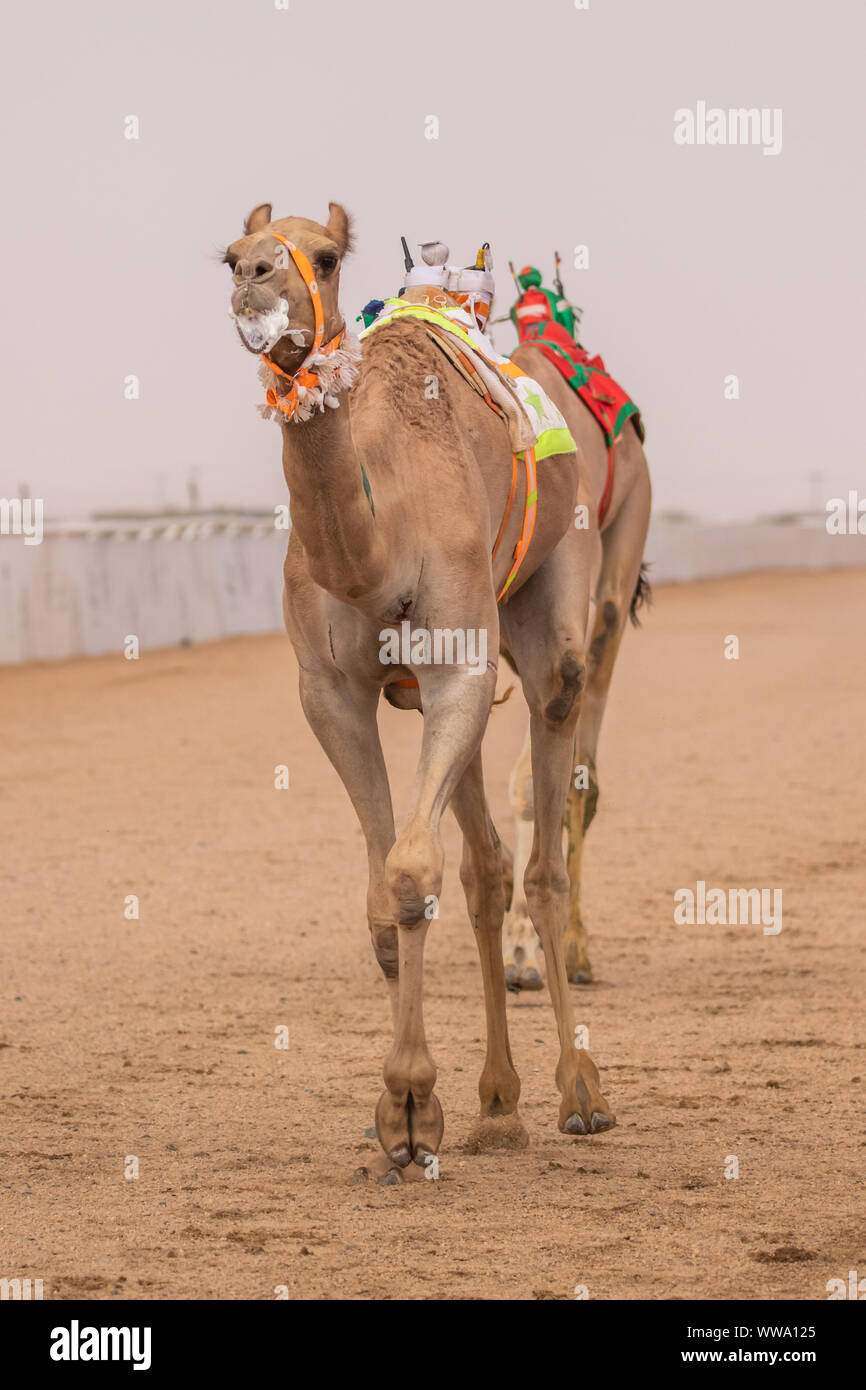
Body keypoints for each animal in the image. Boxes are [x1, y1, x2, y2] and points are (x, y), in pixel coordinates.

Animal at [220, 201, 620, 1181]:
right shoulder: (328, 689)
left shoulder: (458, 665)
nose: (254, 279)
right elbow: (385, 895)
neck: (378, 541)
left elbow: (409, 872)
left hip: (559, 591)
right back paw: (501, 1106)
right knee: (486, 870)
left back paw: (579, 1093)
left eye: (324, 257)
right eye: (230, 254)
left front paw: (409, 1107)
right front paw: (406, 1113)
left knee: (545, 845)